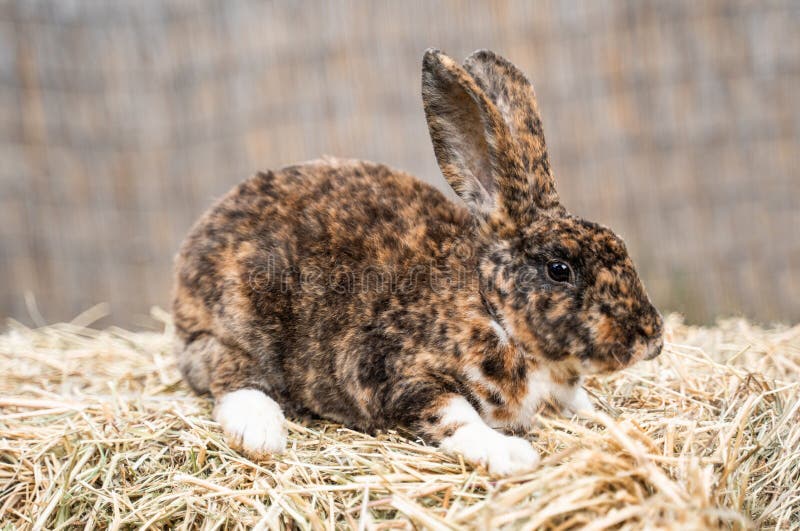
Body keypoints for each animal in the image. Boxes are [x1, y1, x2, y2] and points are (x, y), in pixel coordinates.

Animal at [172, 49, 664, 476]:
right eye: (560, 269)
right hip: (241, 324)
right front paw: (512, 456)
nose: (652, 337)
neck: (492, 309)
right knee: (228, 375)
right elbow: (457, 418)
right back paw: (261, 434)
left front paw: (612, 422)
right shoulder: (395, 372)